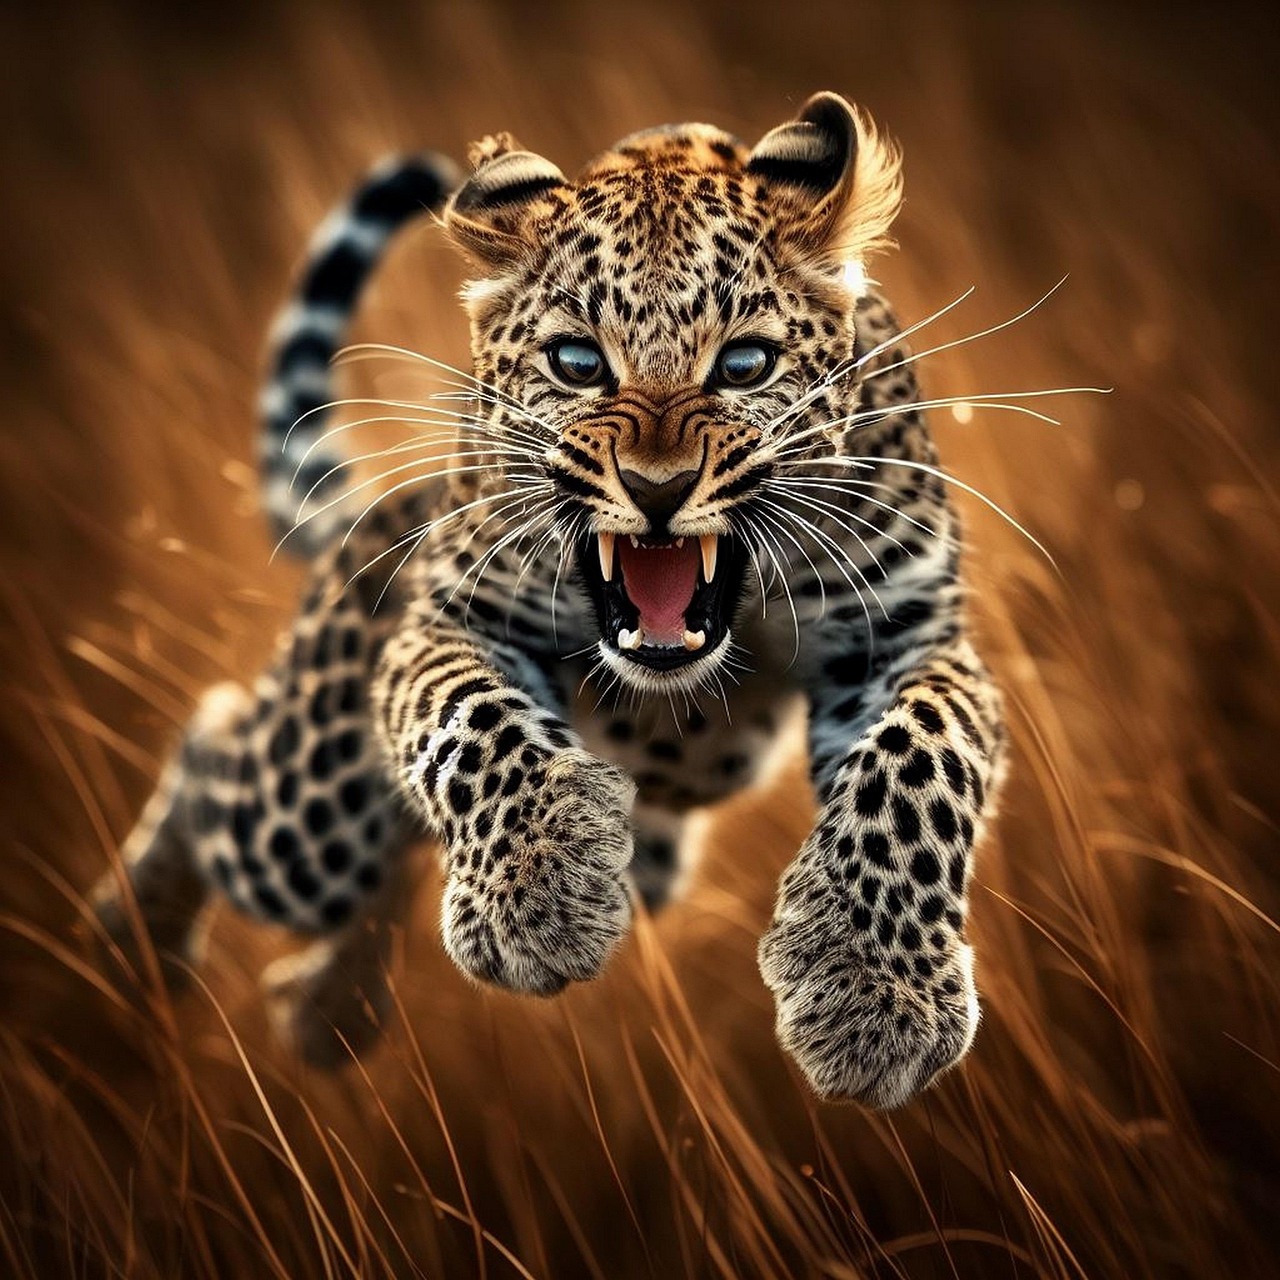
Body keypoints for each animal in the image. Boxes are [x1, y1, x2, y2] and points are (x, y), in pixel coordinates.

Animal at [93, 93, 1006, 1110]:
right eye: (576, 362)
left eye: (744, 365)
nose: (657, 488)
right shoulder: (455, 614)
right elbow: (473, 723)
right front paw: (539, 896)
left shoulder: (905, 635)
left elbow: (917, 764)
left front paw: (875, 991)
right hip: (310, 826)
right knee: (216, 743)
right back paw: (142, 932)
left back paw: (325, 1004)